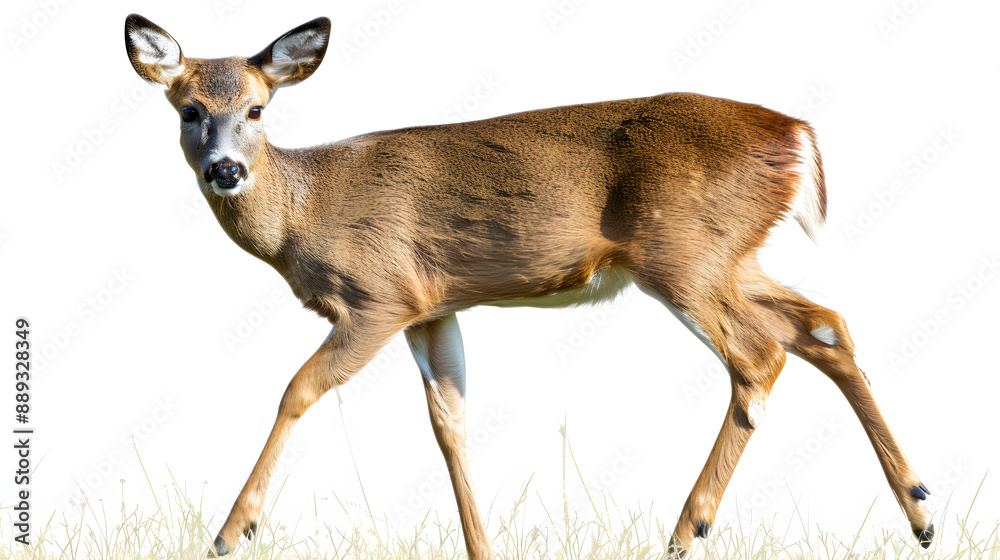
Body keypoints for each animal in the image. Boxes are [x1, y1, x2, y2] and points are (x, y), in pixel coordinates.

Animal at [123, 13, 934, 558]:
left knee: (761, 357)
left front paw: (232, 530)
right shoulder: (432, 307)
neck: (304, 211)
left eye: (257, 108)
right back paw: (922, 511)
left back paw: (687, 528)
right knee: (824, 324)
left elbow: (297, 388)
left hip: (685, 254)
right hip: (731, 256)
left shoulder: (378, 296)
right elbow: (449, 422)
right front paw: (482, 548)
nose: (226, 169)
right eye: (190, 110)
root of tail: (797, 133)